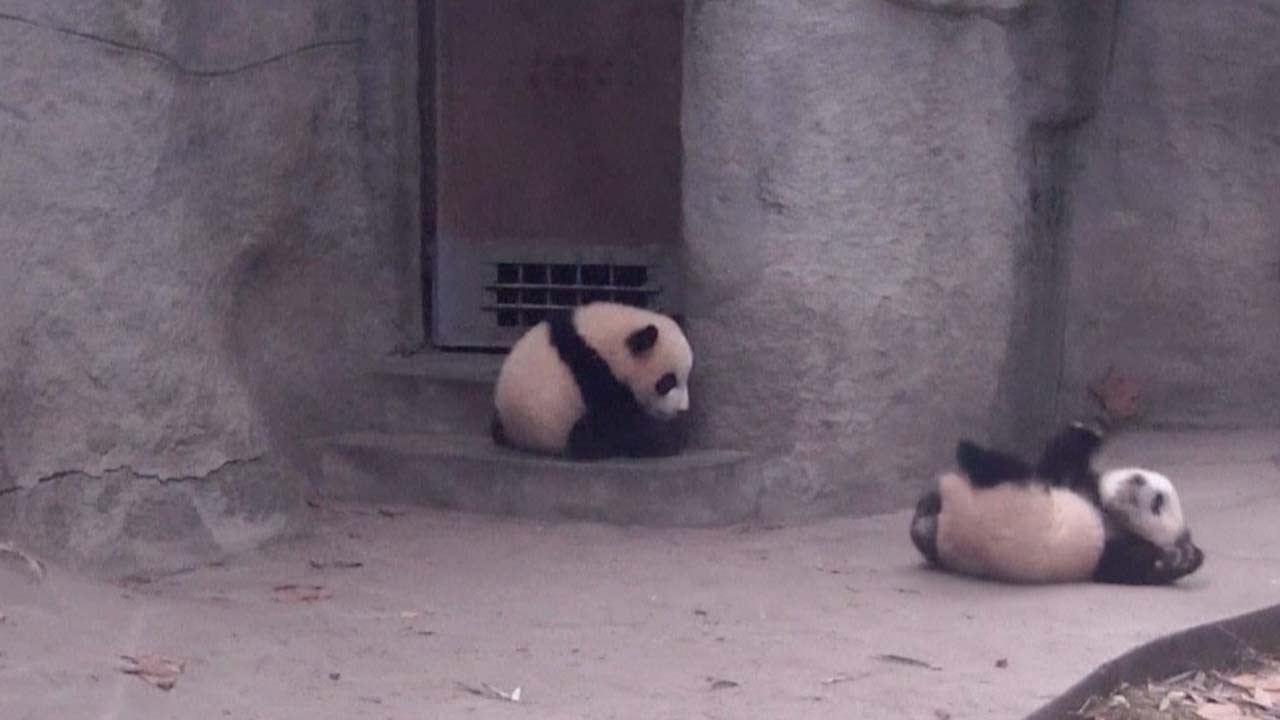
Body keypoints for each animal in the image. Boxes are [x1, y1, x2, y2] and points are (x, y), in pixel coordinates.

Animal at [491, 301, 693, 460]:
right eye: (667, 383)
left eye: (686, 378)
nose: (681, 410)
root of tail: (514, 433)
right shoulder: (594, 373)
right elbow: (622, 424)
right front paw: (672, 435)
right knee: (589, 438)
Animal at [909, 422, 1204, 585]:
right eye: (1140, 478)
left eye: (1157, 504)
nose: (1134, 487)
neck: (1107, 511)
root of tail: (931, 523)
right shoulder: (1071, 485)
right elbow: (1059, 460)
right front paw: (1087, 431)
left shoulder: (1107, 552)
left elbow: (1132, 567)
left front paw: (1184, 558)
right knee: (997, 466)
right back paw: (967, 452)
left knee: (1002, 468)